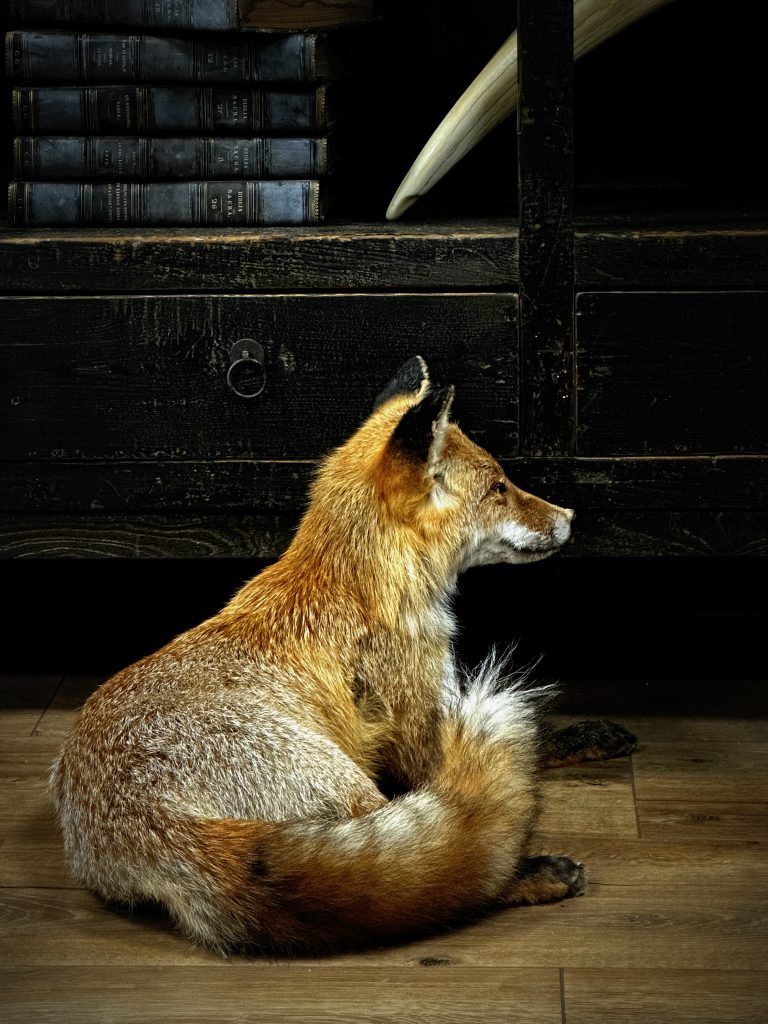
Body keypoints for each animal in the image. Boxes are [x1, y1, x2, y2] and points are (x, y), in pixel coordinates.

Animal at [50, 356, 636, 955]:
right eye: (499, 487)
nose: (569, 515)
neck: (361, 585)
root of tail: (157, 822)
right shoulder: (420, 729)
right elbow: (520, 753)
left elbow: (544, 737)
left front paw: (595, 736)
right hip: (353, 787)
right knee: (451, 868)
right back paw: (532, 873)